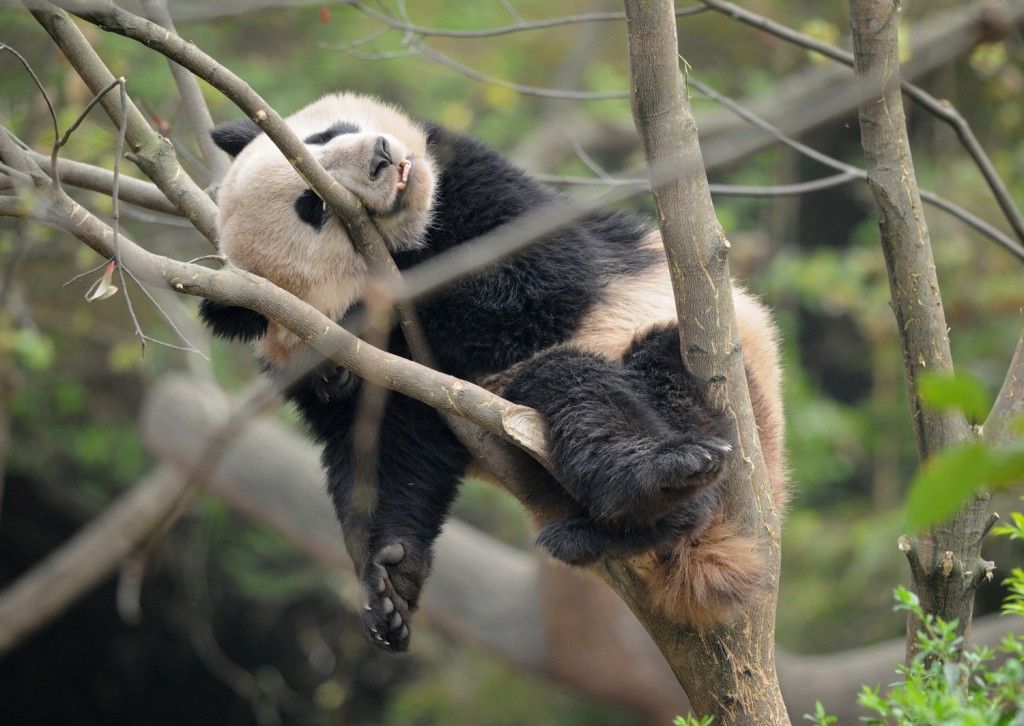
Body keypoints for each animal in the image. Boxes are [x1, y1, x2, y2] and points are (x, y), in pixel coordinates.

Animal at [200, 93, 786, 652]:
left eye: (322, 135)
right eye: (314, 207)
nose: (381, 157)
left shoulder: (476, 179)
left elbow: (537, 283)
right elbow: (391, 452)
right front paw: (390, 581)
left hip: (719, 376)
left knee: (632, 387)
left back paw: (667, 479)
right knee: (574, 383)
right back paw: (634, 513)